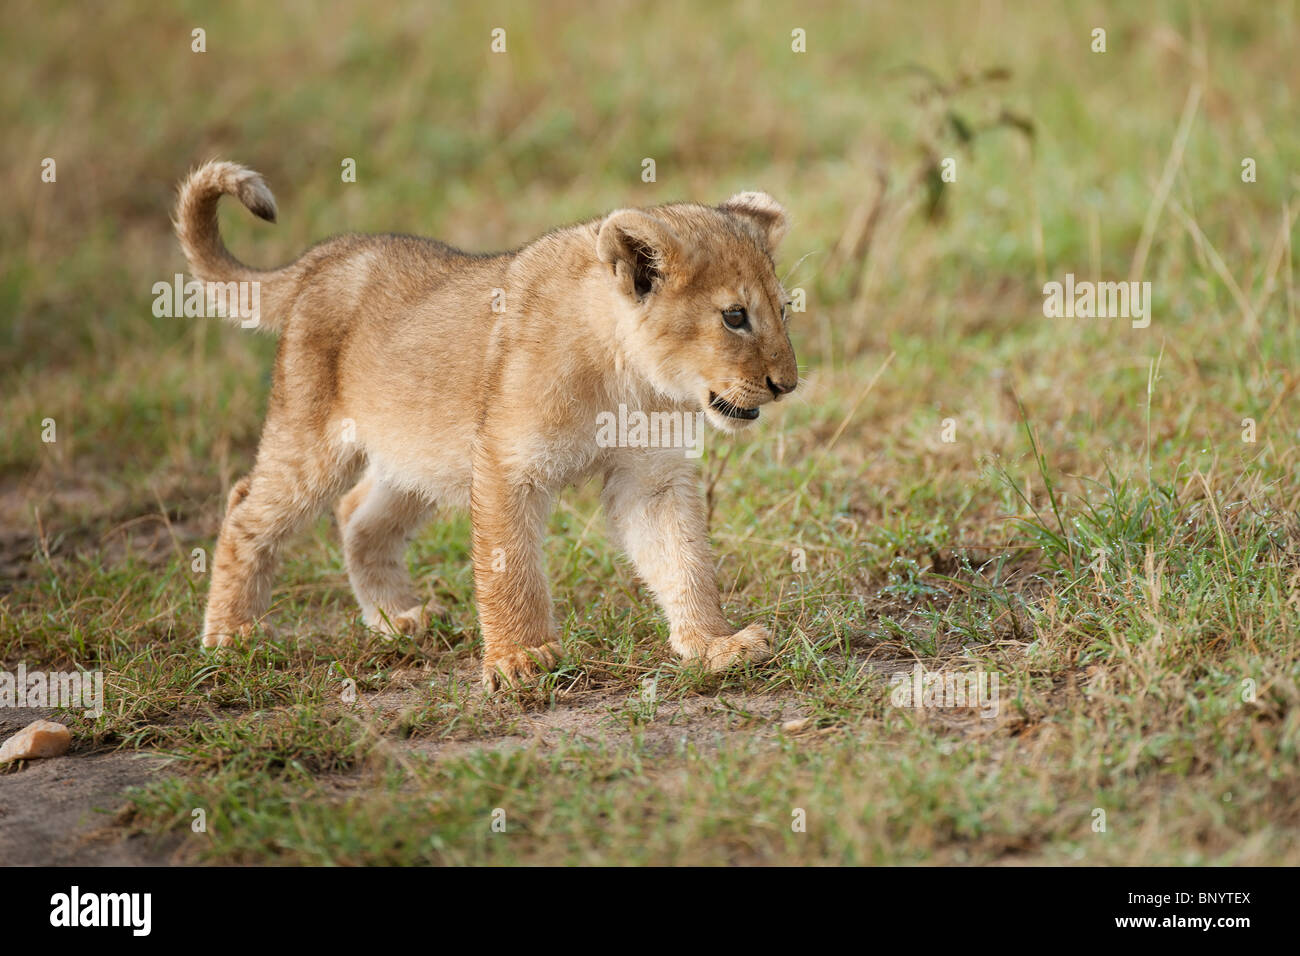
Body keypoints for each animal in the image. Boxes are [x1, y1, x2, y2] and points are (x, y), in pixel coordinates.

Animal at [173, 160, 798, 689]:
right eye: (734, 317)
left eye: (784, 310)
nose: (787, 385)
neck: (629, 378)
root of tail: (327, 254)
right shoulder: (505, 462)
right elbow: (509, 567)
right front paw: (520, 660)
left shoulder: (650, 477)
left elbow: (682, 560)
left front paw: (715, 645)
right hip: (313, 441)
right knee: (247, 507)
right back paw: (231, 637)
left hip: (420, 453)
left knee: (358, 515)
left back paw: (397, 620)